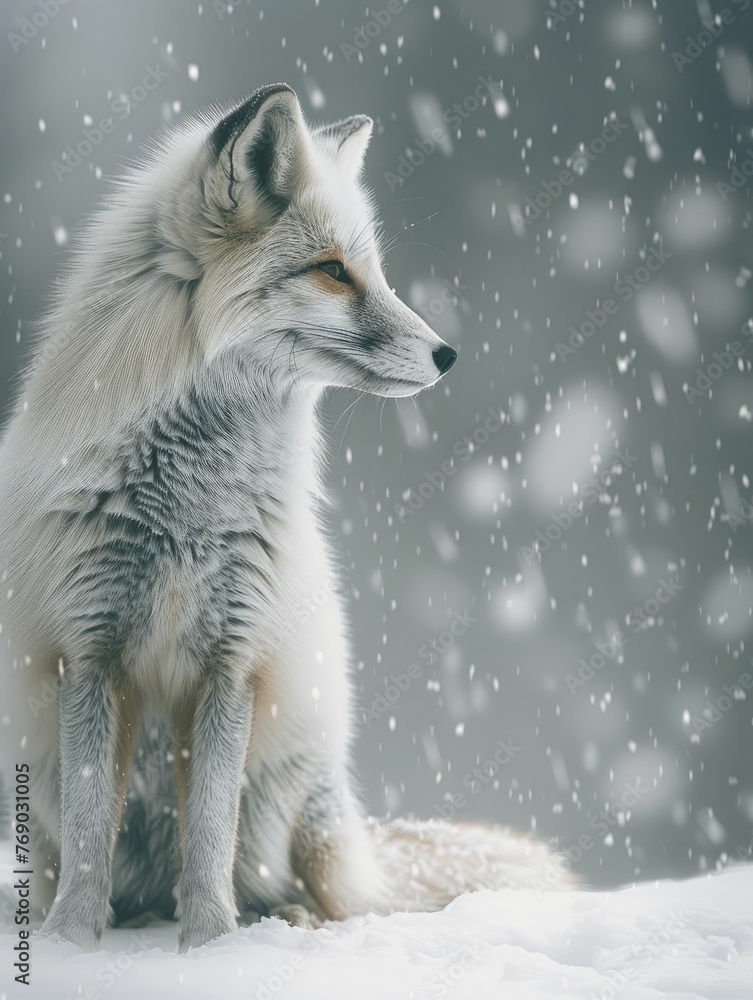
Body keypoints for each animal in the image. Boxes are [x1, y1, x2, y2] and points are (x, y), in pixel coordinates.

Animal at [0, 83, 570, 952]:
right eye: (332, 272)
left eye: (372, 270)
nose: (446, 354)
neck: (185, 513)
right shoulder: (89, 653)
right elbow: (98, 838)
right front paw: (70, 943)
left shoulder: (232, 659)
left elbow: (208, 833)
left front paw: (209, 946)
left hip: (303, 798)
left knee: (331, 899)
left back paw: (282, 920)